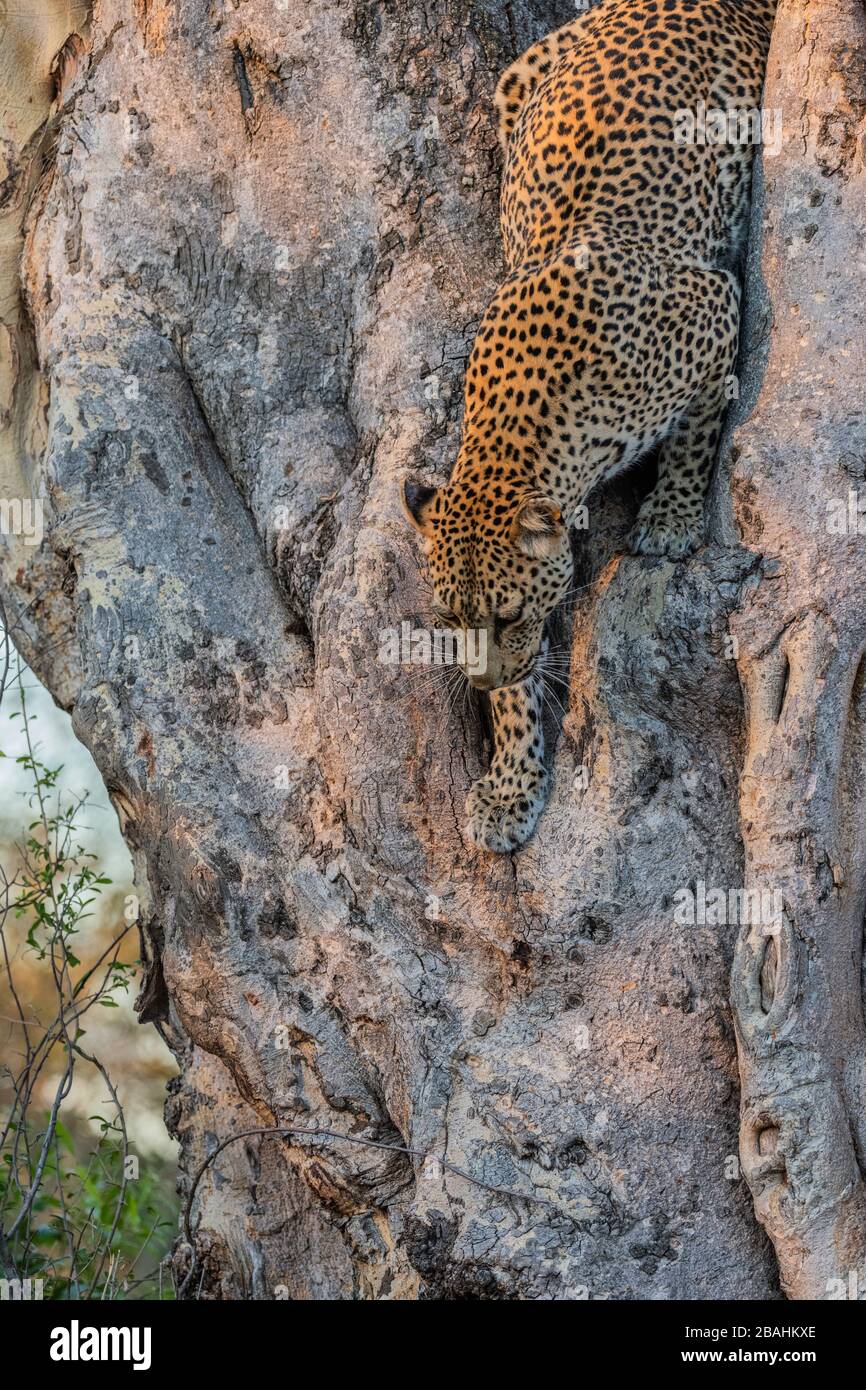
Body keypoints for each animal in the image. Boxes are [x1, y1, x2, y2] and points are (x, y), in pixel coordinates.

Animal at [401, 0, 778, 853]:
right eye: (448, 616)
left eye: (506, 613)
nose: (476, 677)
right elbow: (519, 698)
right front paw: (511, 784)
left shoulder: (712, 306)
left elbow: (696, 432)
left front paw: (670, 521)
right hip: (519, 78)